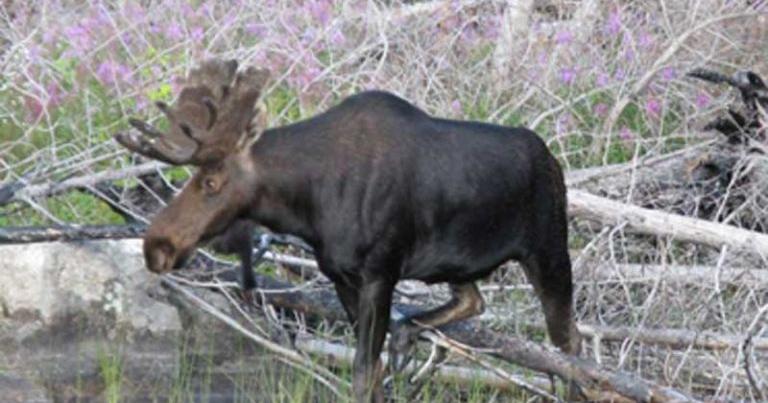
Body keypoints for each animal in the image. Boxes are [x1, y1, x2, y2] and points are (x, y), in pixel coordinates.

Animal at [115, 59, 581, 402]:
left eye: (211, 182)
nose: (156, 246)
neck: (306, 204)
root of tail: (553, 160)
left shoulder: (380, 272)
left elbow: (360, 373)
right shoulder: (340, 276)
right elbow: (371, 373)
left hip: (549, 250)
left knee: (569, 345)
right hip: (456, 263)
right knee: (474, 300)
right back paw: (408, 334)